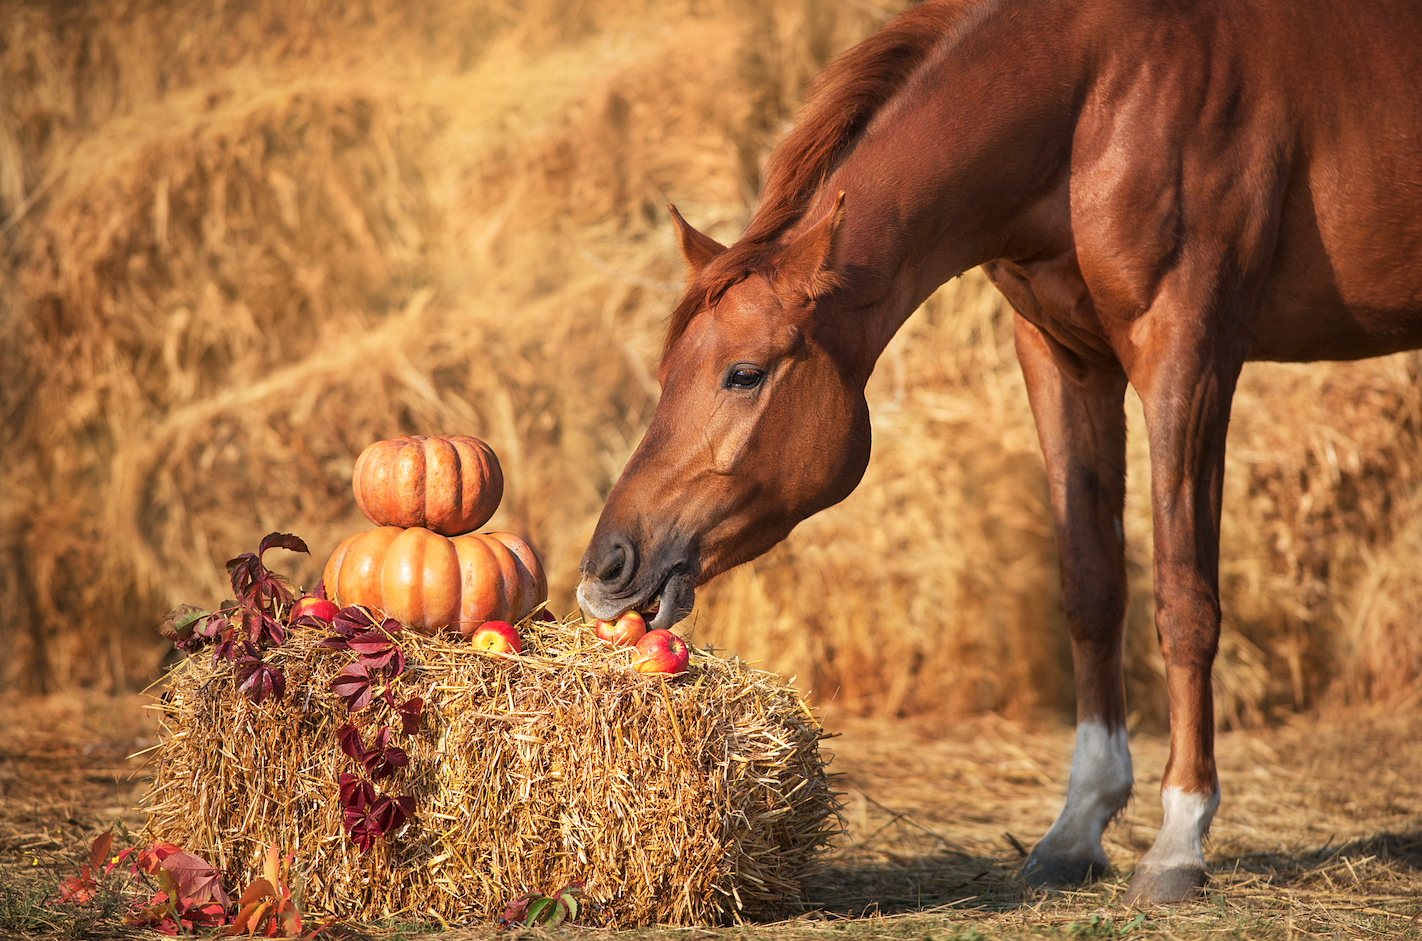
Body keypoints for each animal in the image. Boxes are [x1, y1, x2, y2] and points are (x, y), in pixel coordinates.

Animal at [577, 0, 1422, 906]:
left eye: (744, 373)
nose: (606, 567)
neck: (1106, 94)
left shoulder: (1186, 356)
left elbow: (1183, 598)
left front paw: (1179, 839)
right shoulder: (1061, 357)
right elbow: (1091, 587)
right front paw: (1077, 828)